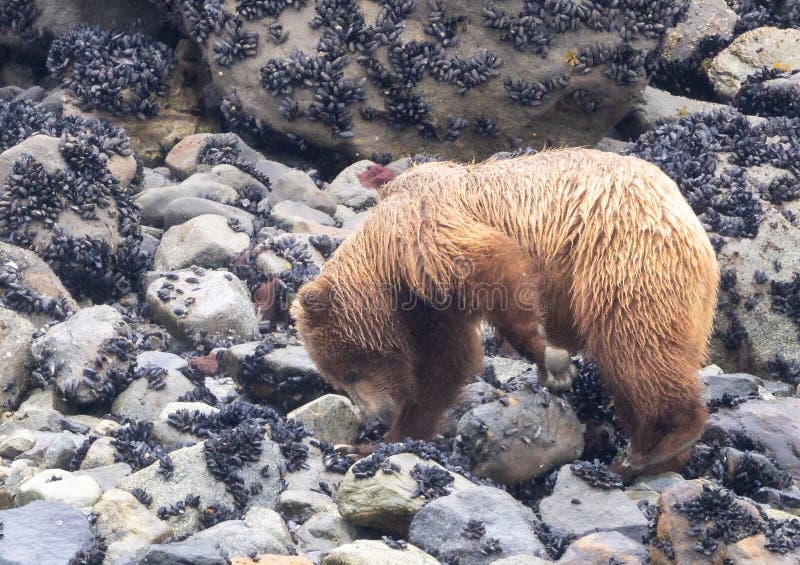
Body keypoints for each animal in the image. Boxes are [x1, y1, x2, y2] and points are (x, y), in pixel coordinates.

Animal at [291, 148, 720, 480]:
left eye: (350, 370)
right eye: (337, 379)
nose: (372, 418)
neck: (388, 269)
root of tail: (692, 222)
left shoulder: (424, 229)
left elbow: (491, 262)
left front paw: (550, 359)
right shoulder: (430, 306)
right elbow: (443, 368)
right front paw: (373, 445)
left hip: (625, 259)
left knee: (635, 346)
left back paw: (664, 441)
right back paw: (649, 453)